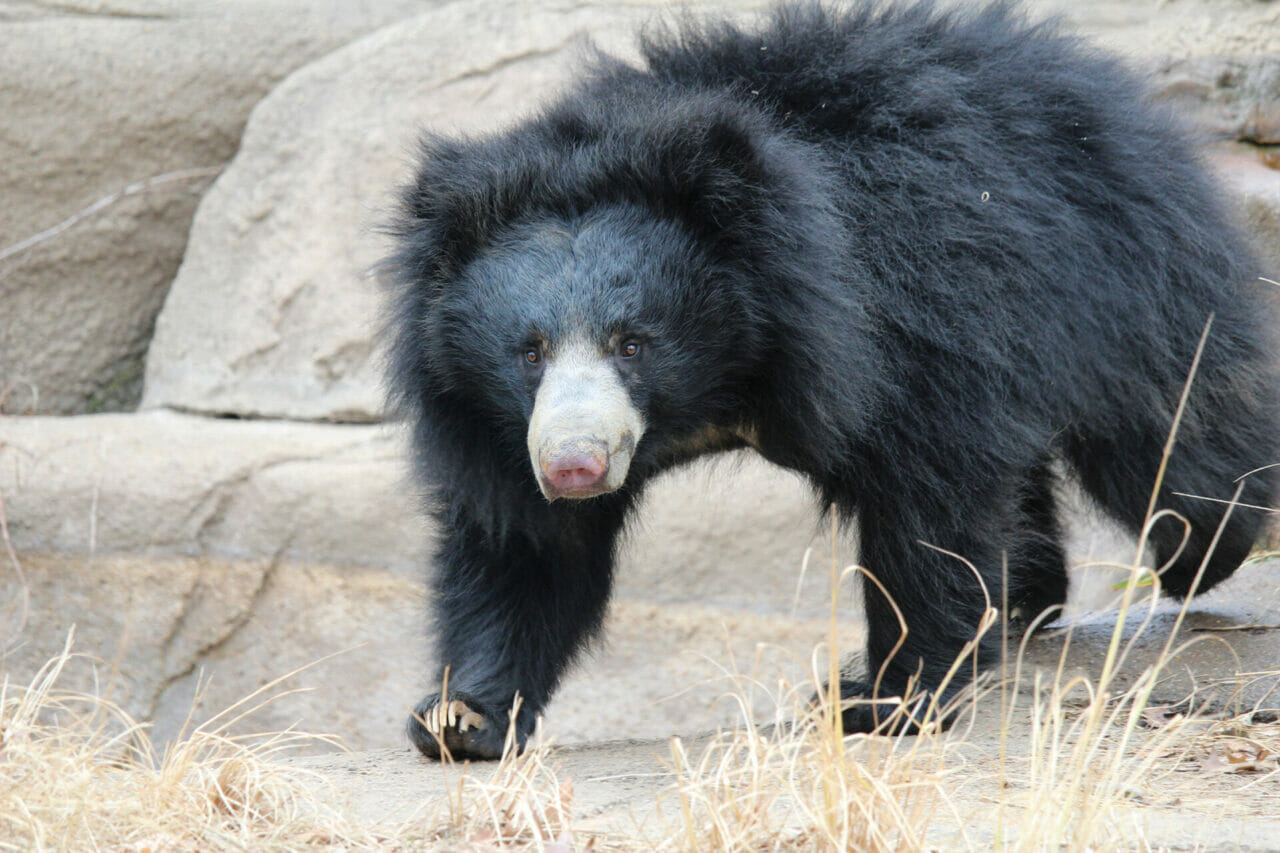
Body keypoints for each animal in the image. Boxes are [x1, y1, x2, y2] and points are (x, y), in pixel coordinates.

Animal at [383, 0, 1280, 760]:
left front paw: (881, 701)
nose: (573, 465)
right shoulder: (488, 418)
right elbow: (528, 546)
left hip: (1115, 267)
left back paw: (1207, 546)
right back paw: (1028, 601)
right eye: (528, 351)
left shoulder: (908, 315)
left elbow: (930, 503)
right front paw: (461, 714)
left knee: (1168, 431)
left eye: (632, 343)